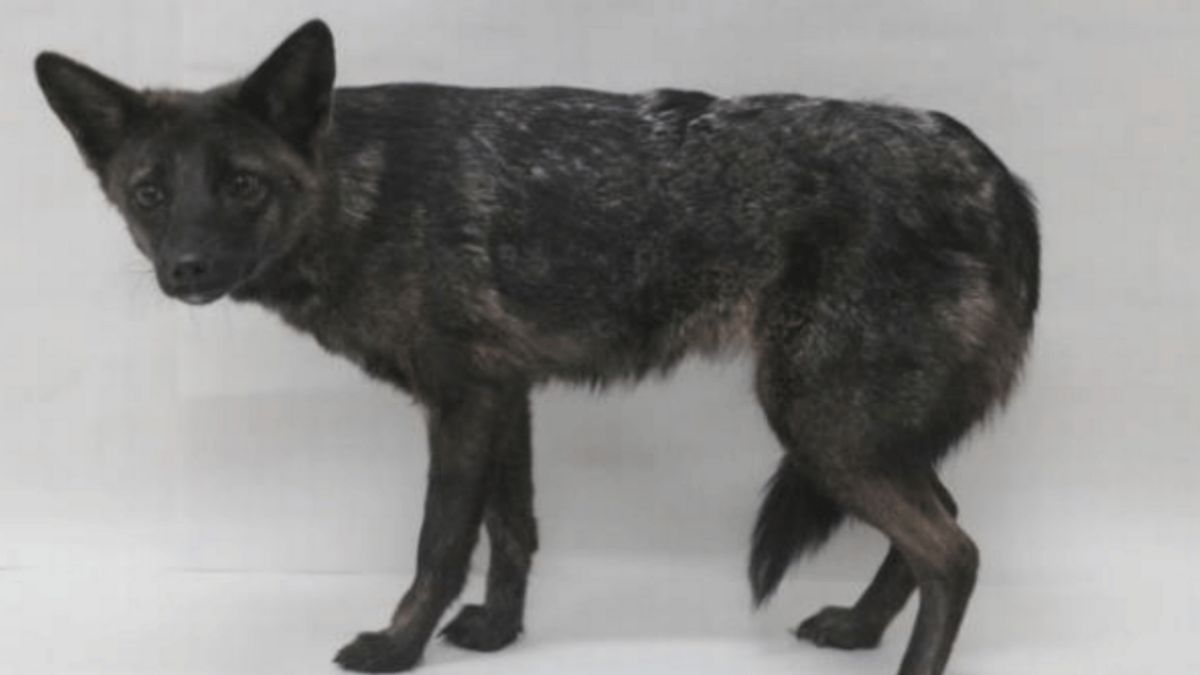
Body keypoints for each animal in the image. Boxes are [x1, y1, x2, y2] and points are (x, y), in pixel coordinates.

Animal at [35, 18, 1039, 675]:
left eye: (242, 185)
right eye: (150, 193)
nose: (187, 270)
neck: (366, 191)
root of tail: (996, 172)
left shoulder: (461, 400)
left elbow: (440, 540)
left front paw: (395, 647)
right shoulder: (502, 393)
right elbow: (511, 529)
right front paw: (495, 634)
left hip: (821, 425)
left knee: (953, 549)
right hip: (850, 434)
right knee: (941, 521)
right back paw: (859, 630)